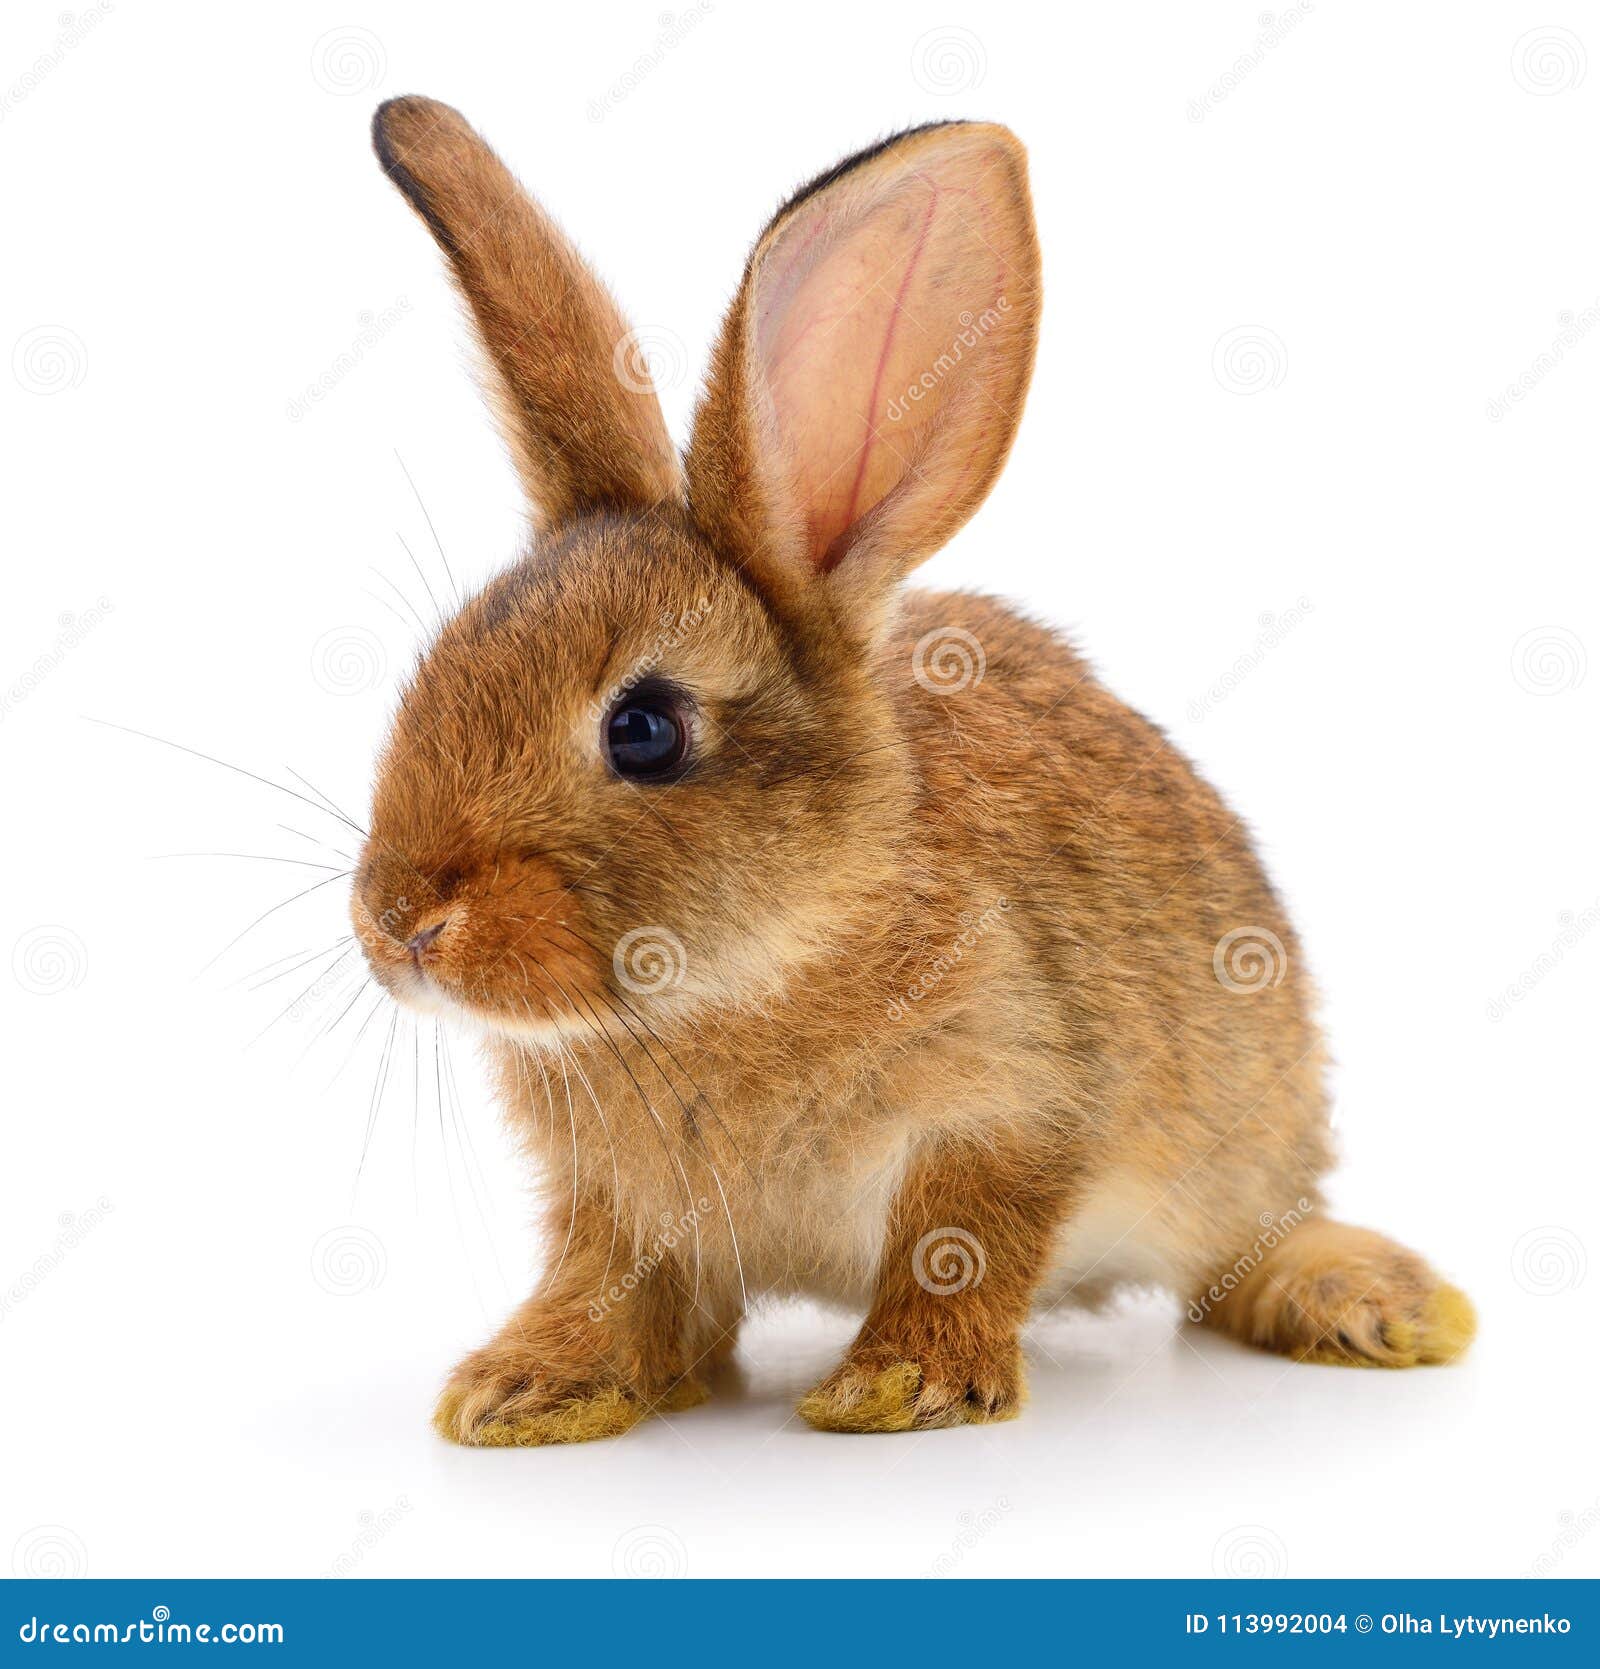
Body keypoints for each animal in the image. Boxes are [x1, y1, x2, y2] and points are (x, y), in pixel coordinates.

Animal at [353, 96, 1475, 1444]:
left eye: (646, 730)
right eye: (433, 669)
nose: (401, 922)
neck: (763, 956)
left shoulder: (1010, 1104)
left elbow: (967, 1240)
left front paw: (897, 1387)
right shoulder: (613, 1204)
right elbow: (605, 1283)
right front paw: (526, 1388)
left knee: (1243, 1248)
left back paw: (1376, 1305)